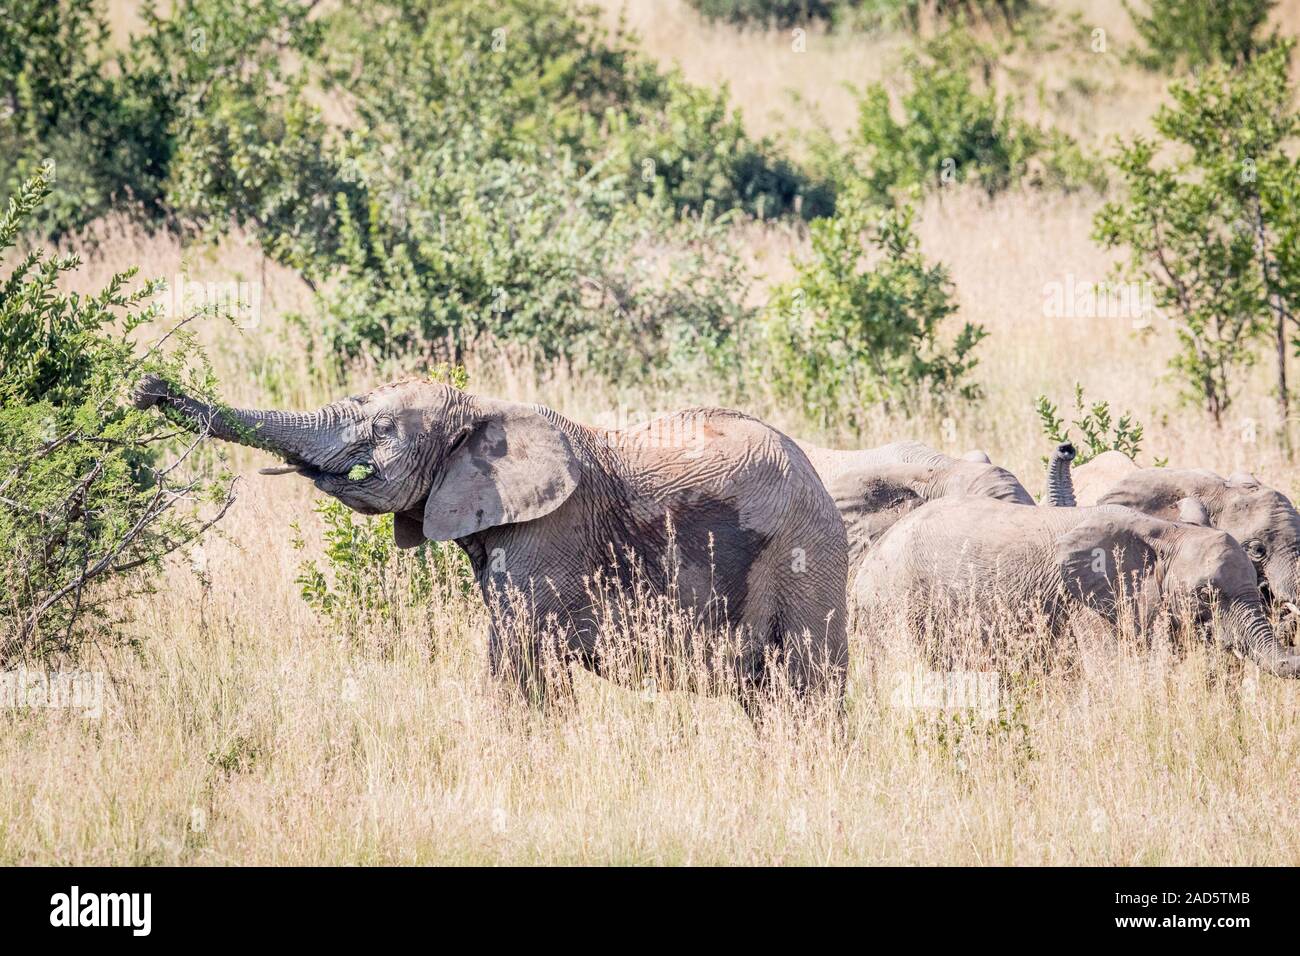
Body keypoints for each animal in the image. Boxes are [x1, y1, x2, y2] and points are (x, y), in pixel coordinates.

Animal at [133, 375, 849, 708]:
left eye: (382, 431)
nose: (148, 388)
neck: (483, 408)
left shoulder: (548, 535)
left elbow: (519, 653)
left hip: (805, 557)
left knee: (808, 684)